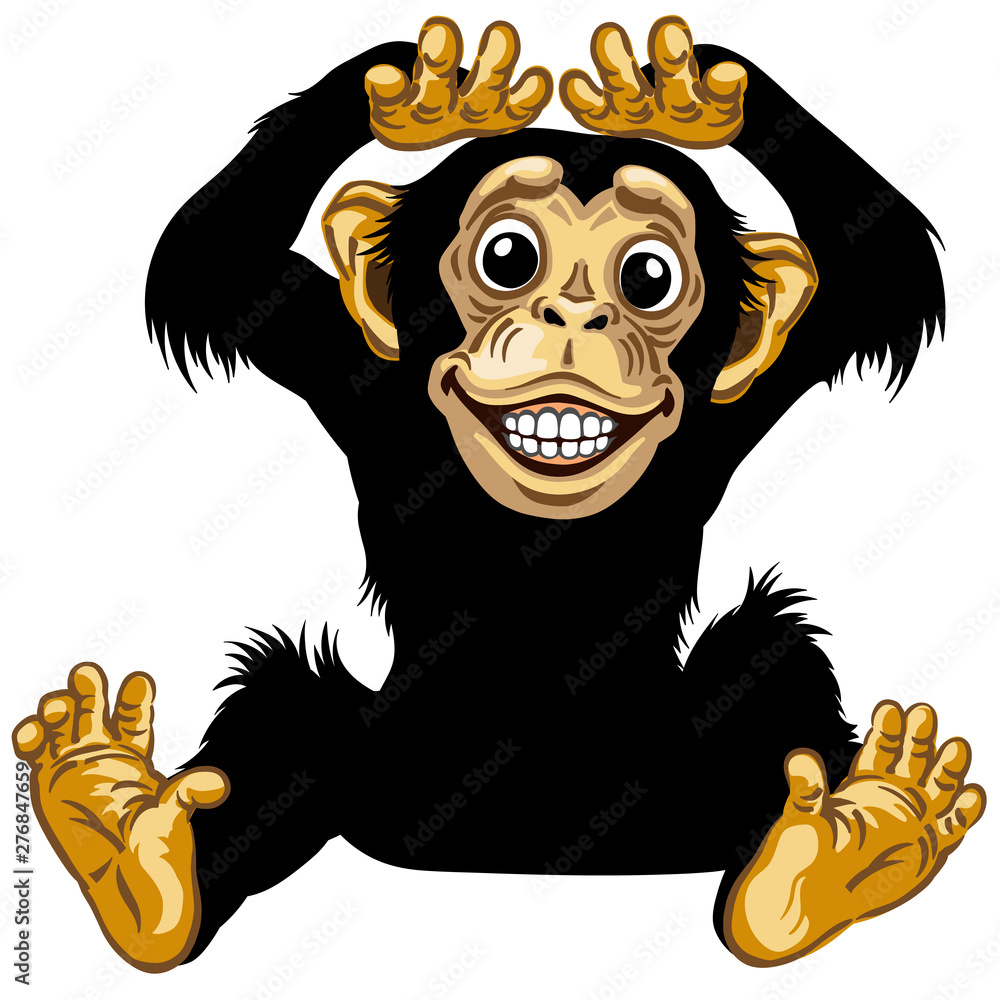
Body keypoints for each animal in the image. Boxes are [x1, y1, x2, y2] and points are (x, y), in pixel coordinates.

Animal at [12, 15, 985, 974]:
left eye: (649, 277)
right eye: (508, 257)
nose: (576, 315)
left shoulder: (737, 395)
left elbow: (876, 272)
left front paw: (694, 88)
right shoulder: (349, 363)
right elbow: (220, 265)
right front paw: (417, 88)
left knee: (770, 655)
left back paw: (824, 865)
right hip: (377, 776)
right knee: (287, 706)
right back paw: (139, 862)